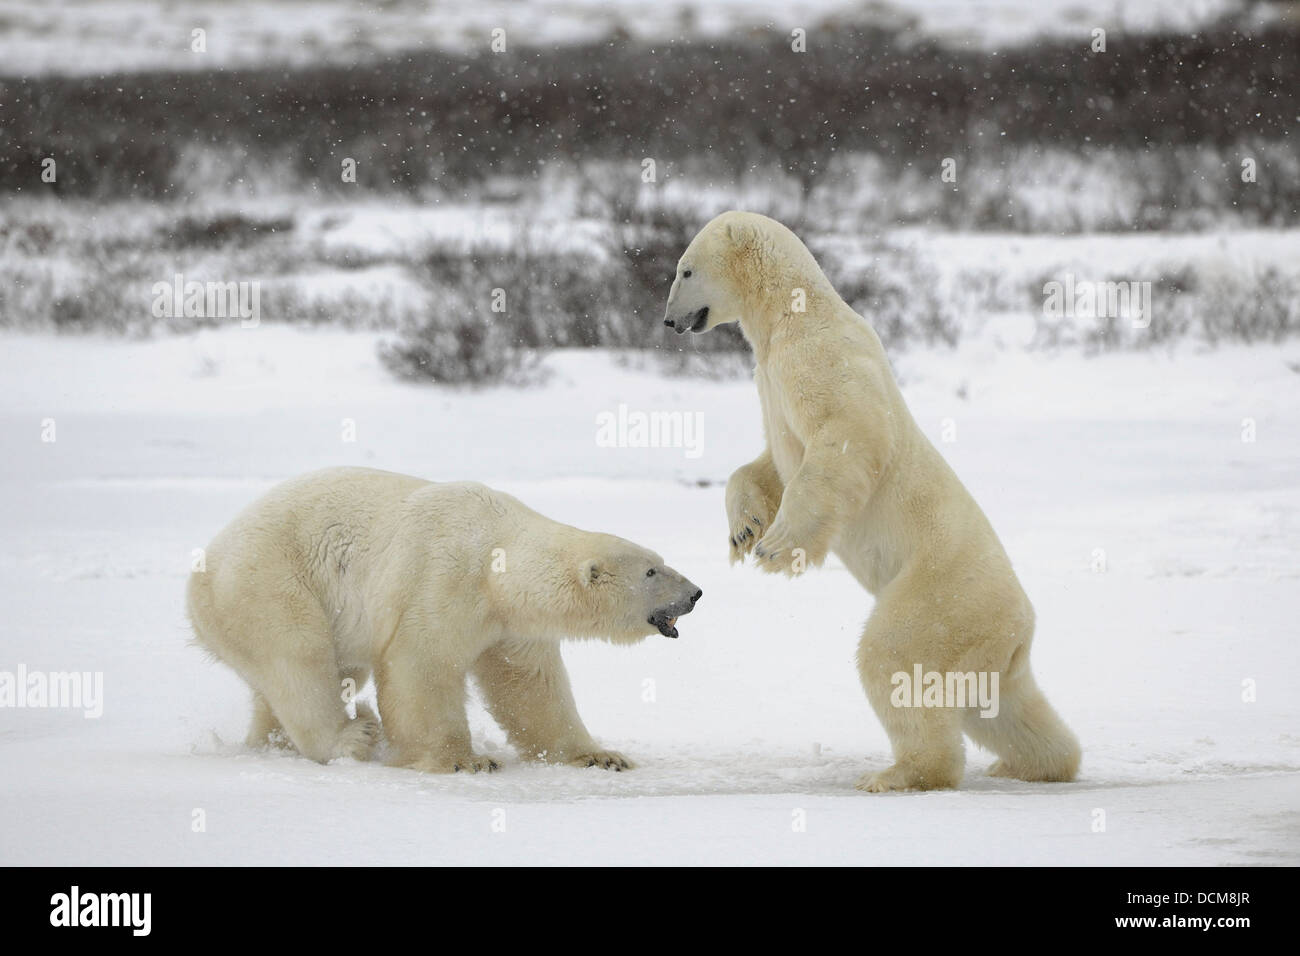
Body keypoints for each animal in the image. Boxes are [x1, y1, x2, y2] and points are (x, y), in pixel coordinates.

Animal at [187, 467, 702, 774]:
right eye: (652, 571)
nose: (695, 593)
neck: (496, 558)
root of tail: (202, 569)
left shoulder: (508, 622)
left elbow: (528, 684)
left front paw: (600, 756)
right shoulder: (442, 579)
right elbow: (422, 667)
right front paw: (464, 761)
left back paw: (269, 744)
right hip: (269, 581)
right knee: (300, 658)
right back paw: (351, 737)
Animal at [662, 210, 1080, 791]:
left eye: (686, 270)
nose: (668, 321)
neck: (790, 312)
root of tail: (1022, 622)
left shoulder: (822, 357)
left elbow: (845, 434)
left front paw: (779, 548)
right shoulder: (770, 379)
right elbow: (770, 462)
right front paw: (744, 529)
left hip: (943, 595)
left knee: (897, 657)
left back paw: (900, 773)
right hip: (989, 644)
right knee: (999, 703)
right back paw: (1035, 763)